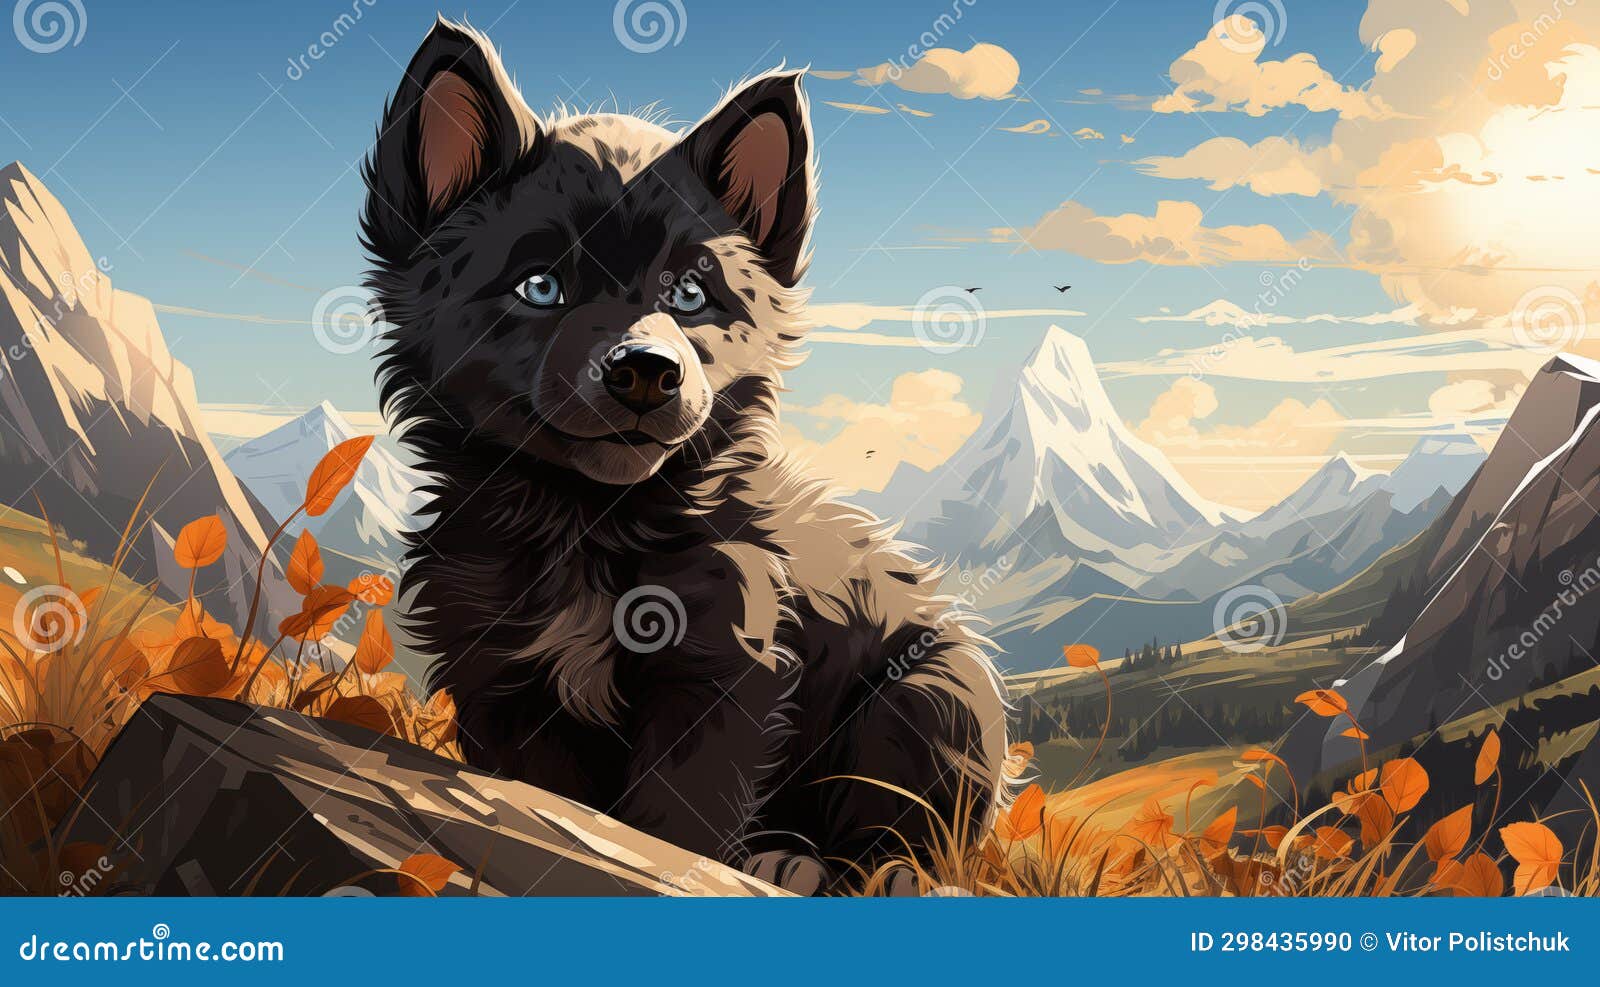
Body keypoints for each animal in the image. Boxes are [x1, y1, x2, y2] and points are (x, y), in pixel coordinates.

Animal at [361, 19, 1007, 895]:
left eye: (692, 295)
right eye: (539, 287)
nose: (646, 371)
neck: (585, 523)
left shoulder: (723, 667)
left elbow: (680, 818)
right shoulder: (504, 682)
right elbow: (553, 793)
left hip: (934, 696)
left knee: (899, 831)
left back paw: (834, 864)